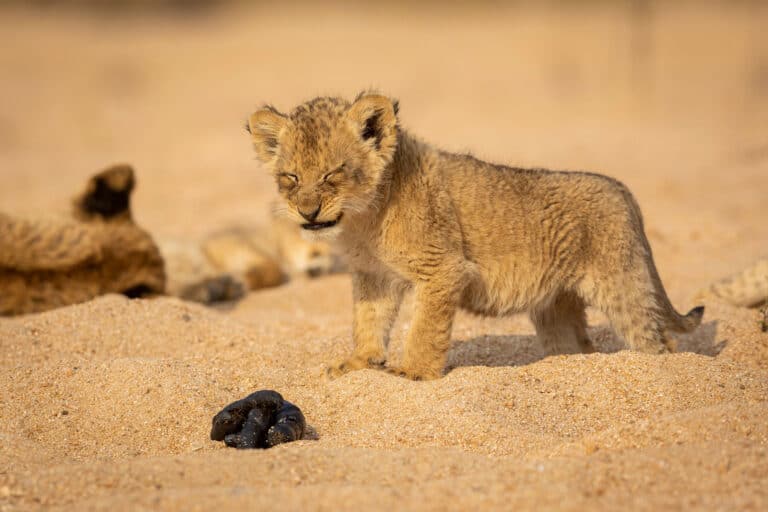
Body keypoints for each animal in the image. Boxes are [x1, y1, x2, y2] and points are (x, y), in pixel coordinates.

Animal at [246, 91, 704, 380]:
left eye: (332, 174)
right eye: (291, 177)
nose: (307, 212)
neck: (364, 219)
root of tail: (624, 191)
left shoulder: (443, 267)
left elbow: (424, 328)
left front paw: (412, 373)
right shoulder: (374, 276)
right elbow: (368, 320)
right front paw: (360, 363)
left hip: (622, 286)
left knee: (659, 340)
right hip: (556, 308)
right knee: (578, 349)